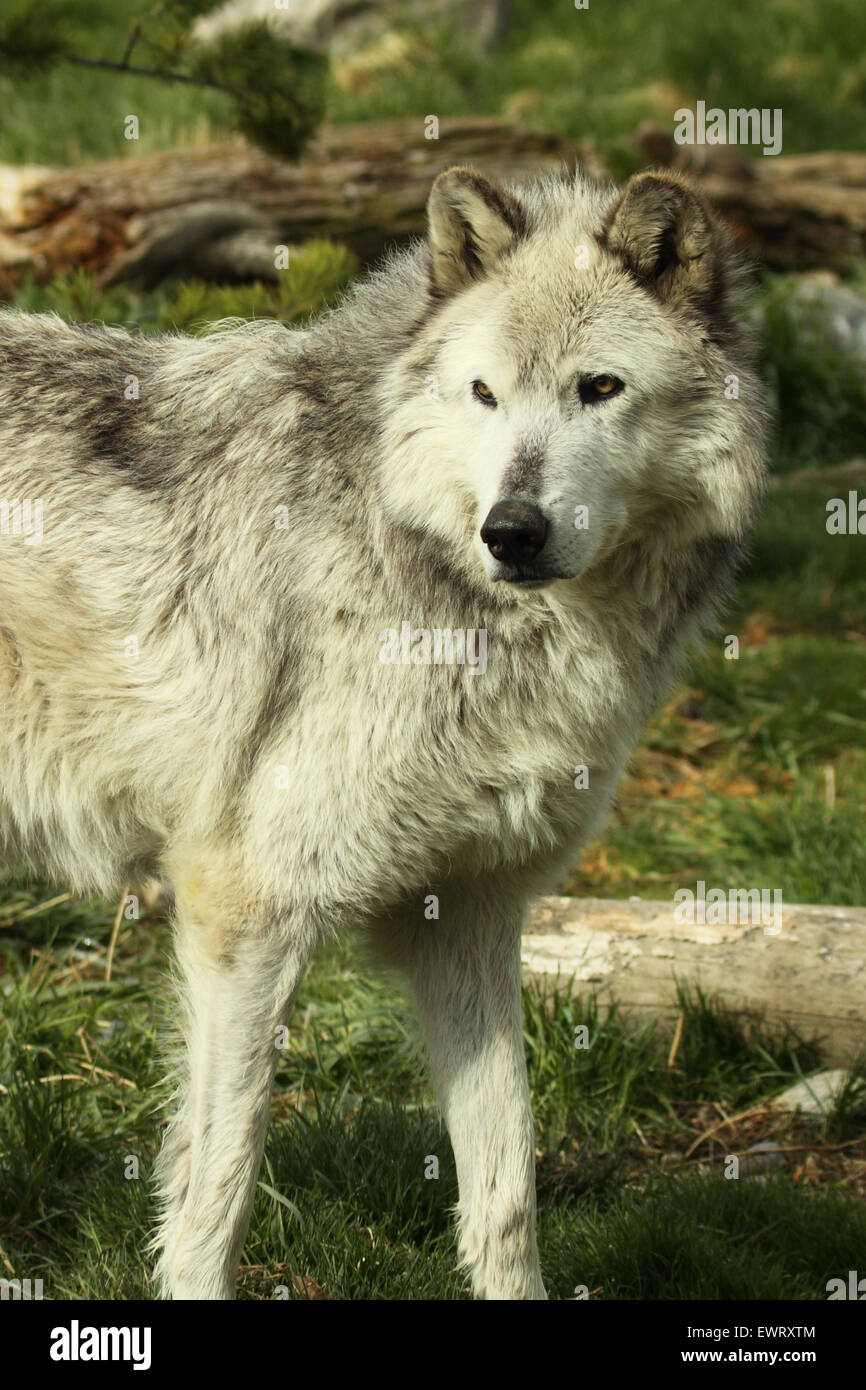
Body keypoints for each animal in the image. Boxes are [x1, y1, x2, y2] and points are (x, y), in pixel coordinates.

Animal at [0, 164, 767, 1300]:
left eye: (599, 388)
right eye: (484, 394)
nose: (511, 531)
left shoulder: (470, 917)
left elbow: (505, 1185)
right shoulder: (244, 908)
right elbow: (217, 1186)